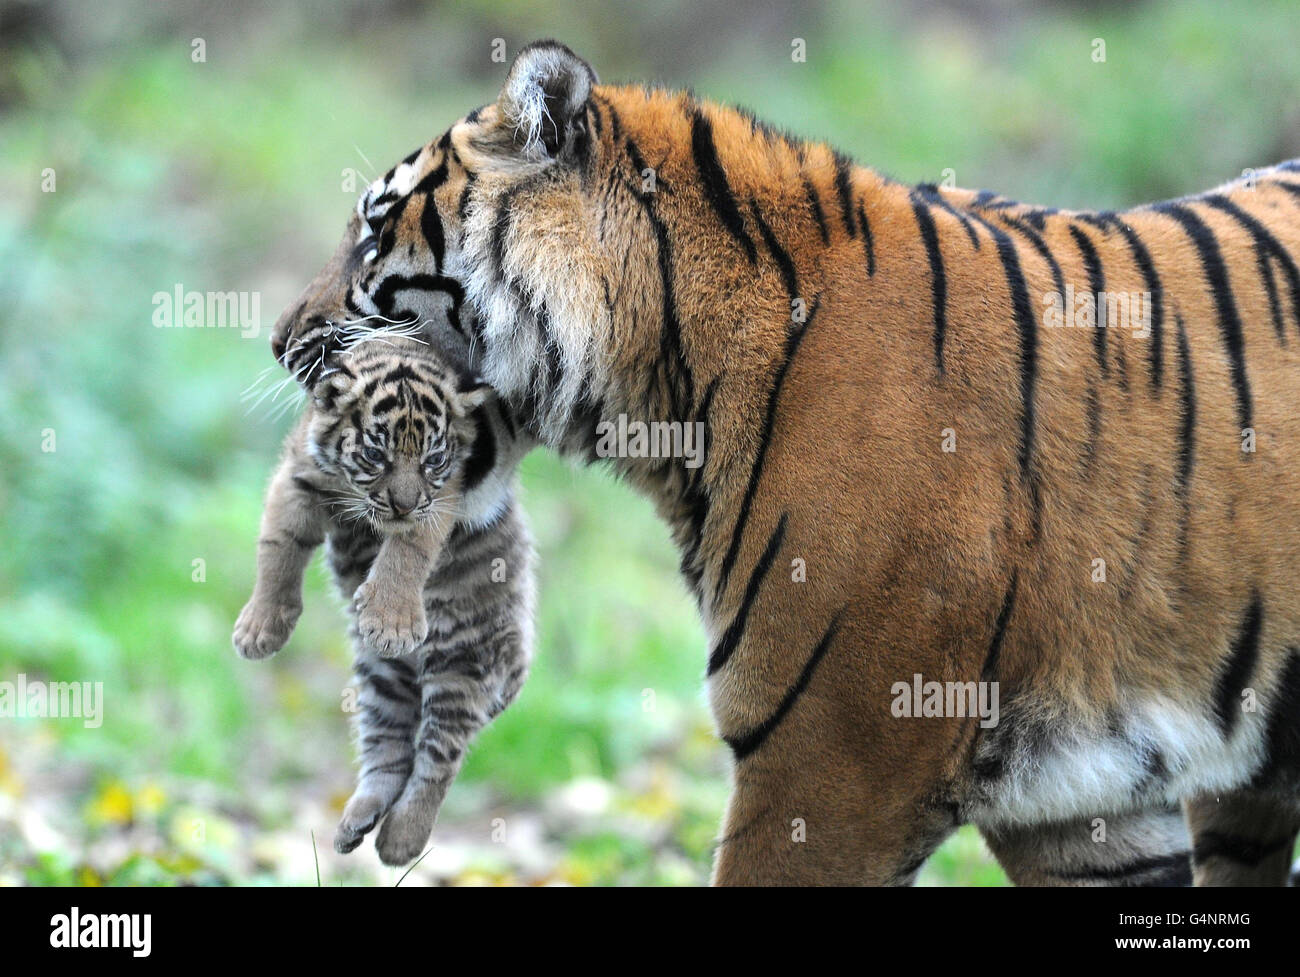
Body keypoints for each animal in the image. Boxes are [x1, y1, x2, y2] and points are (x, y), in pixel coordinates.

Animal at [235, 334, 535, 864]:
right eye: (376, 455)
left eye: (433, 460)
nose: (402, 504)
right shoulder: (298, 475)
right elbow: (278, 545)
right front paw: (260, 628)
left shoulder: (445, 495)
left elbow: (407, 551)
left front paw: (391, 622)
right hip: (381, 685)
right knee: (390, 754)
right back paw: (357, 822)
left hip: (462, 670)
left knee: (437, 763)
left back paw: (401, 840)